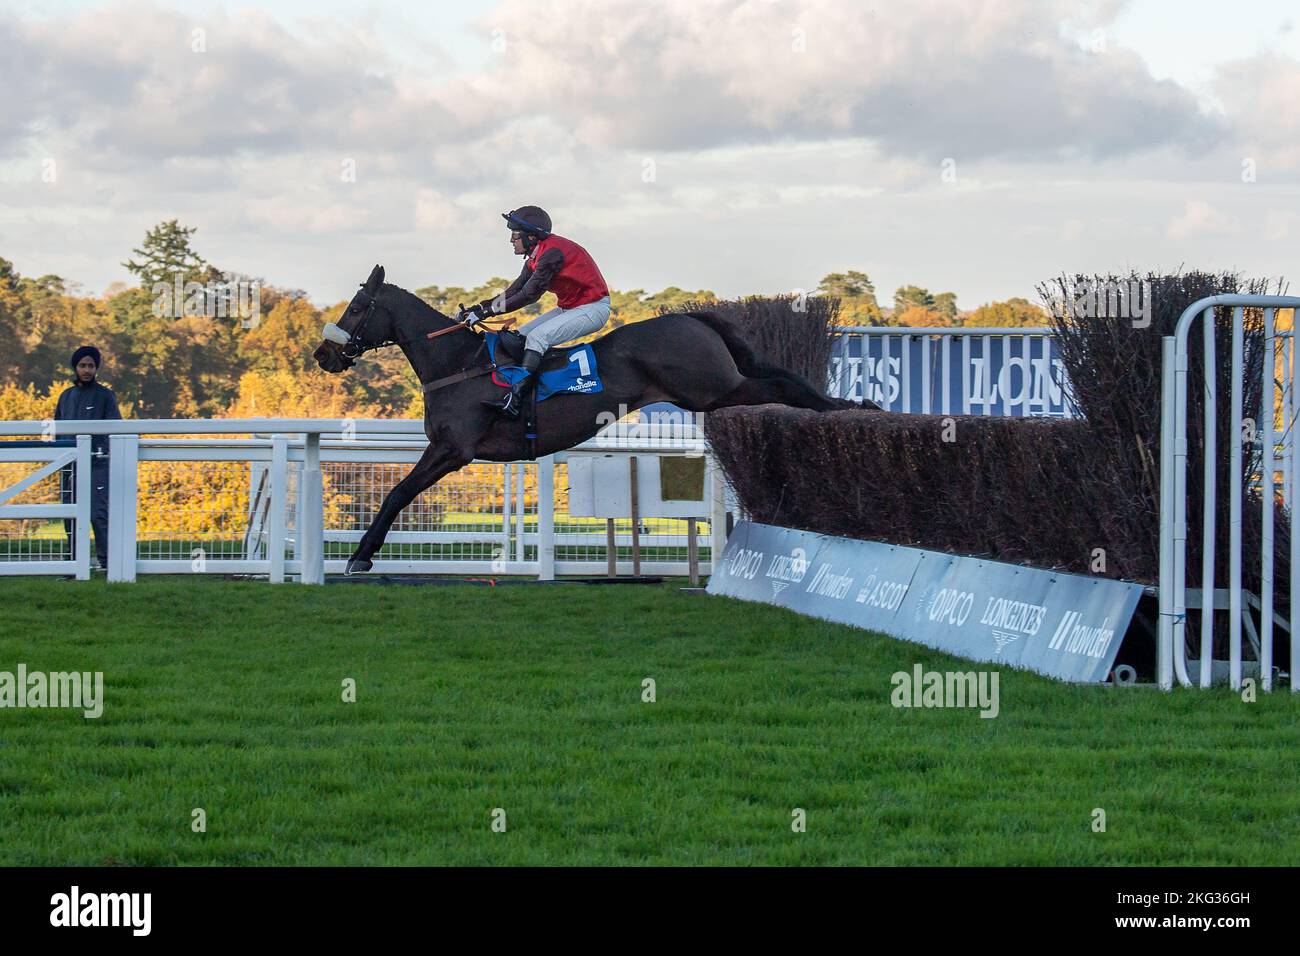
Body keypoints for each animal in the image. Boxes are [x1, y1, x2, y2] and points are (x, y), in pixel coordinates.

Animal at [313, 265, 863, 574]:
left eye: (357, 306)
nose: (324, 354)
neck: (456, 363)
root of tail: (692, 317)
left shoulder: (453, 450)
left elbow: (397, 493)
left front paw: (360, 556)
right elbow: (398, 492)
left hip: (712, 390)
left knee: (782, 388)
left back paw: (847, 410)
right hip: (718, 388)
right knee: (780, 379)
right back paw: (855, 408)